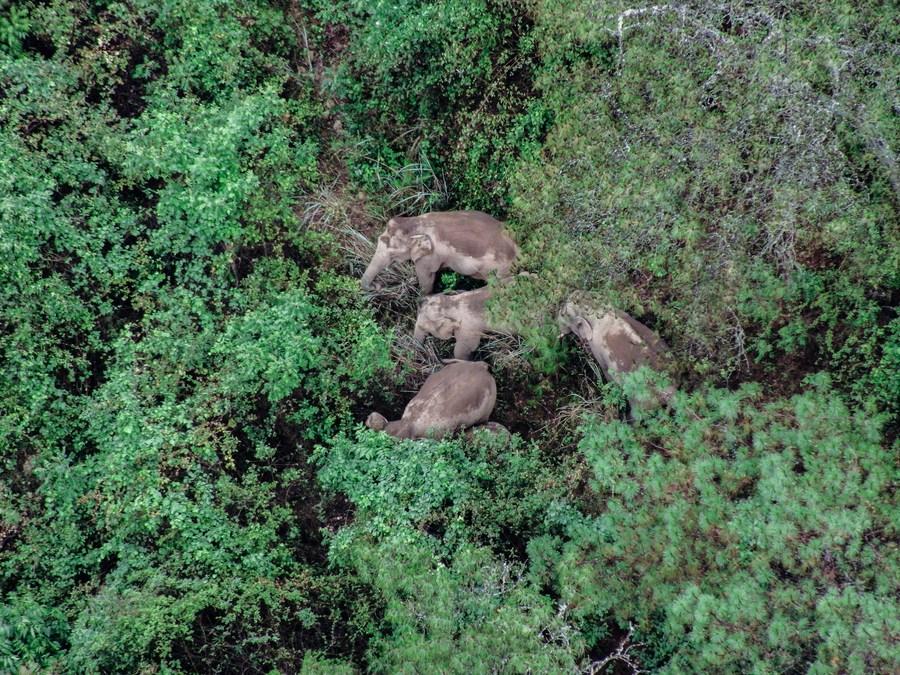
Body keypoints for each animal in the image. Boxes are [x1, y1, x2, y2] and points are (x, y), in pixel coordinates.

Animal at [360, 211, 518, 295]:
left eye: (393, 254)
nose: (378, 286)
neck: (416, 222)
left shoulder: (428, 258)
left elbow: (427, 281)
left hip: (500, 269)